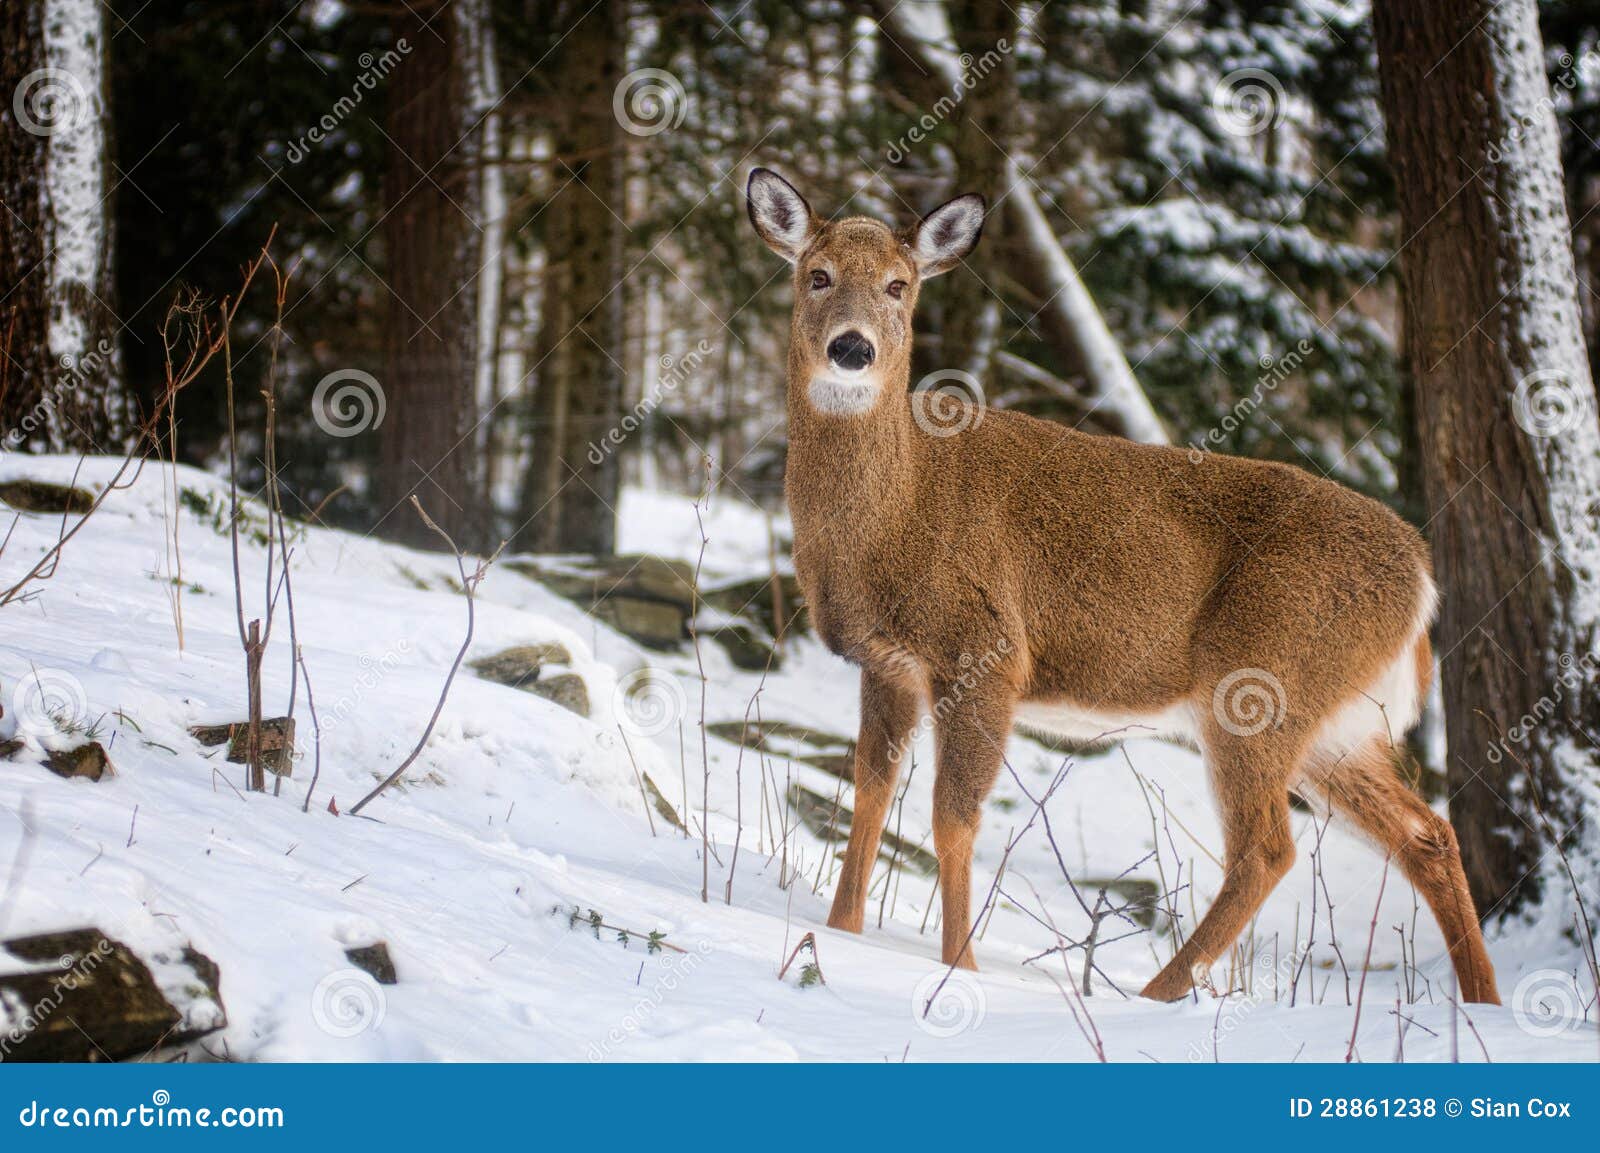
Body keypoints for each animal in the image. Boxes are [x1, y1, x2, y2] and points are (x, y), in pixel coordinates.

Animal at [745, 166, 1500, 1004]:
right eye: (817, 275)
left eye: (898, 285)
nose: (852, 346)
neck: (897, 509)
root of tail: (1423, 577)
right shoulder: (887, 661)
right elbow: (870, 794)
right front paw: (843, 931)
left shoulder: (988, 651)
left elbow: (951, 818)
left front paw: (957, 965)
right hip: (1337, 724)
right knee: (1426, 833)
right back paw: (1483, 1002)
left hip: (1259, 682)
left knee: (1268, 847)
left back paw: (1155, 995)